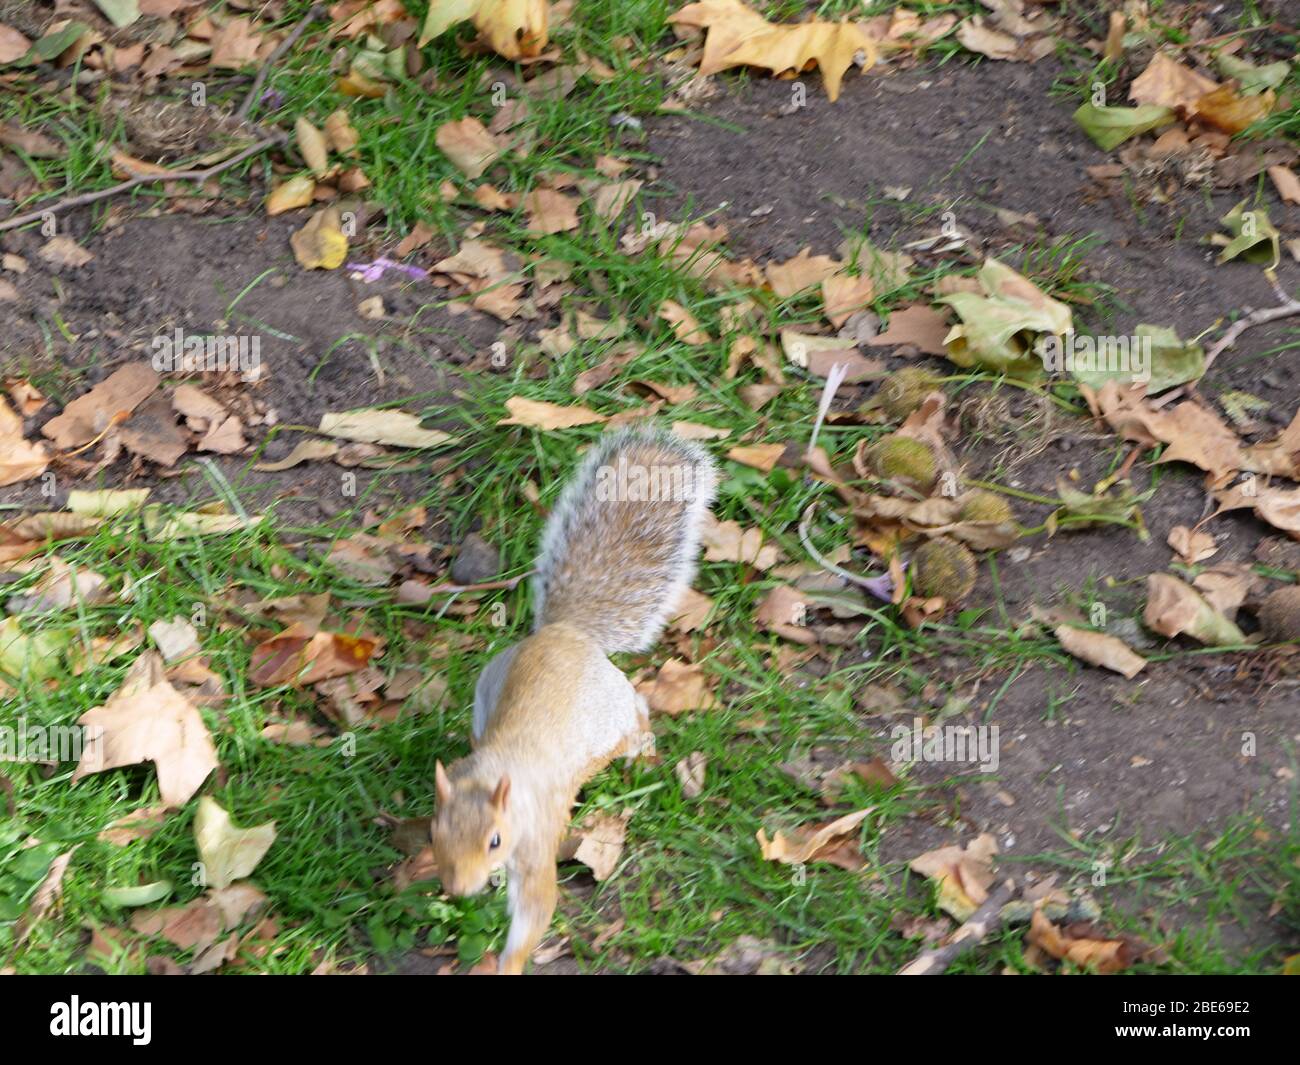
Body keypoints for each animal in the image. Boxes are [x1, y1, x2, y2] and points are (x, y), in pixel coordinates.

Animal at [430, 428, 717, 974]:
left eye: (495, 840)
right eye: (436, 829)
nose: (458, 890)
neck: (495, 776)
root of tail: (569, 634)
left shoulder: (537, 839)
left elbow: (537, 905)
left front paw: (509, 963)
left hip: (614, 717)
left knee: (638, 718)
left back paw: (645, 755)